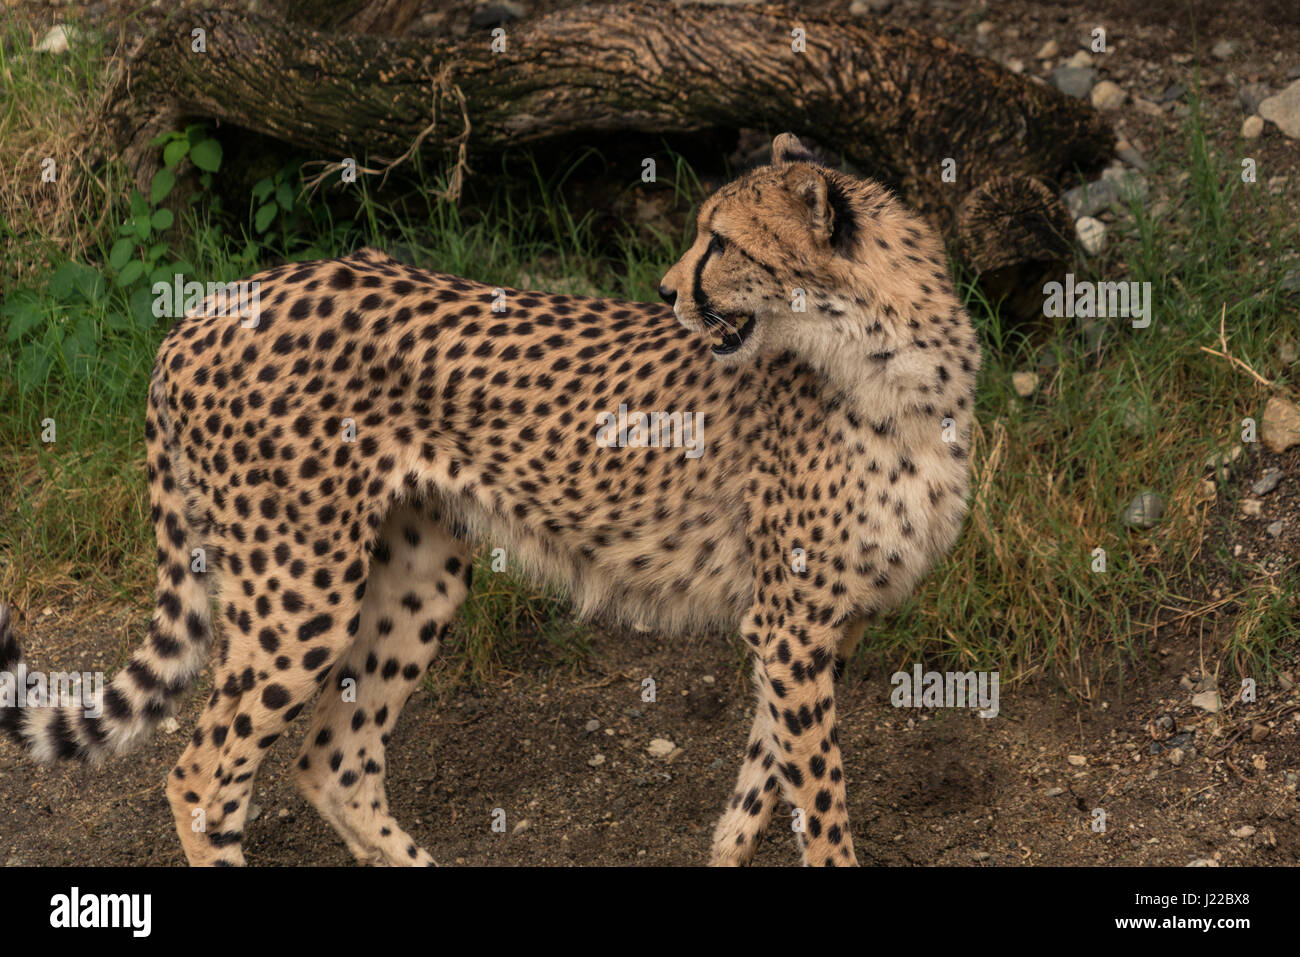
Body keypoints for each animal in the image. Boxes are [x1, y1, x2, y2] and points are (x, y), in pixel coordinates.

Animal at [0, 133, 980, 866]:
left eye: (726, 242)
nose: (667, 291)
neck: (896, 365)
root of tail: (205, 310)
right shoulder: (792, 622)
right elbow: (820, 798)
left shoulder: (820, 625)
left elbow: (763, 778)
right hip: (300, 587)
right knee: (204, 775)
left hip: (419, 570)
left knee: (333, 757)